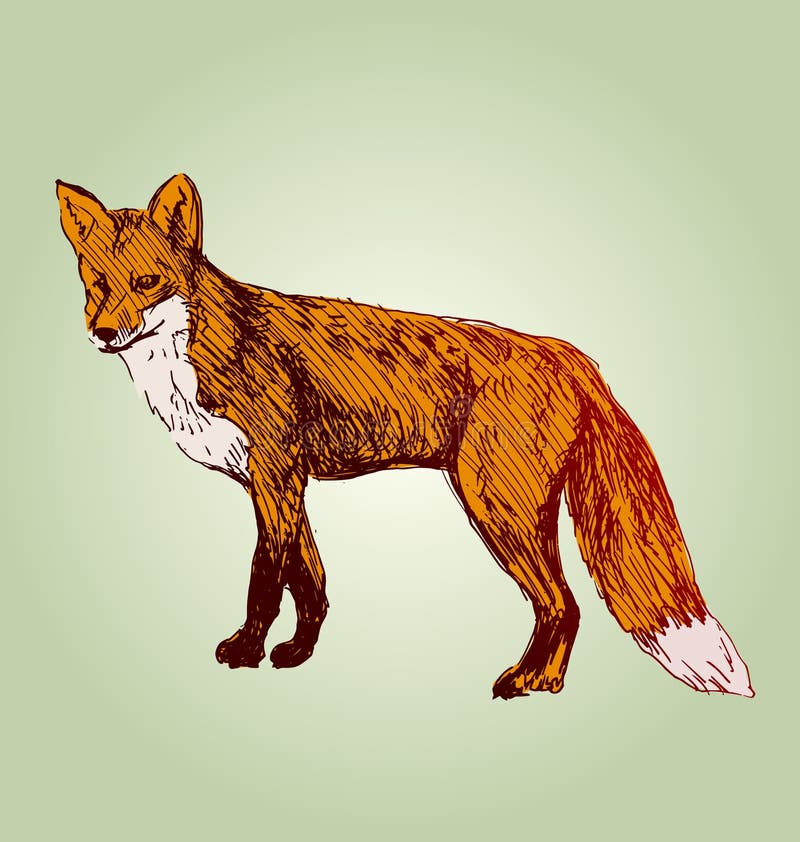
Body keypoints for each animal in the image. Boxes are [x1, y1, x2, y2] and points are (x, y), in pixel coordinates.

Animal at [56, 174, 753, 699]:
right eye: (97, 285)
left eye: (146, 284)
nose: (102, 334)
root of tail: (568, 352)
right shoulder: (281, 486)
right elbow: (310, 581)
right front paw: (298, 653)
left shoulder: (274, 476)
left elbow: (264, 581)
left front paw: (247, 650)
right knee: (565, 606)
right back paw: (542, 678)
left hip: (496, 509)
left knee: (564, 604)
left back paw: (532, 682)